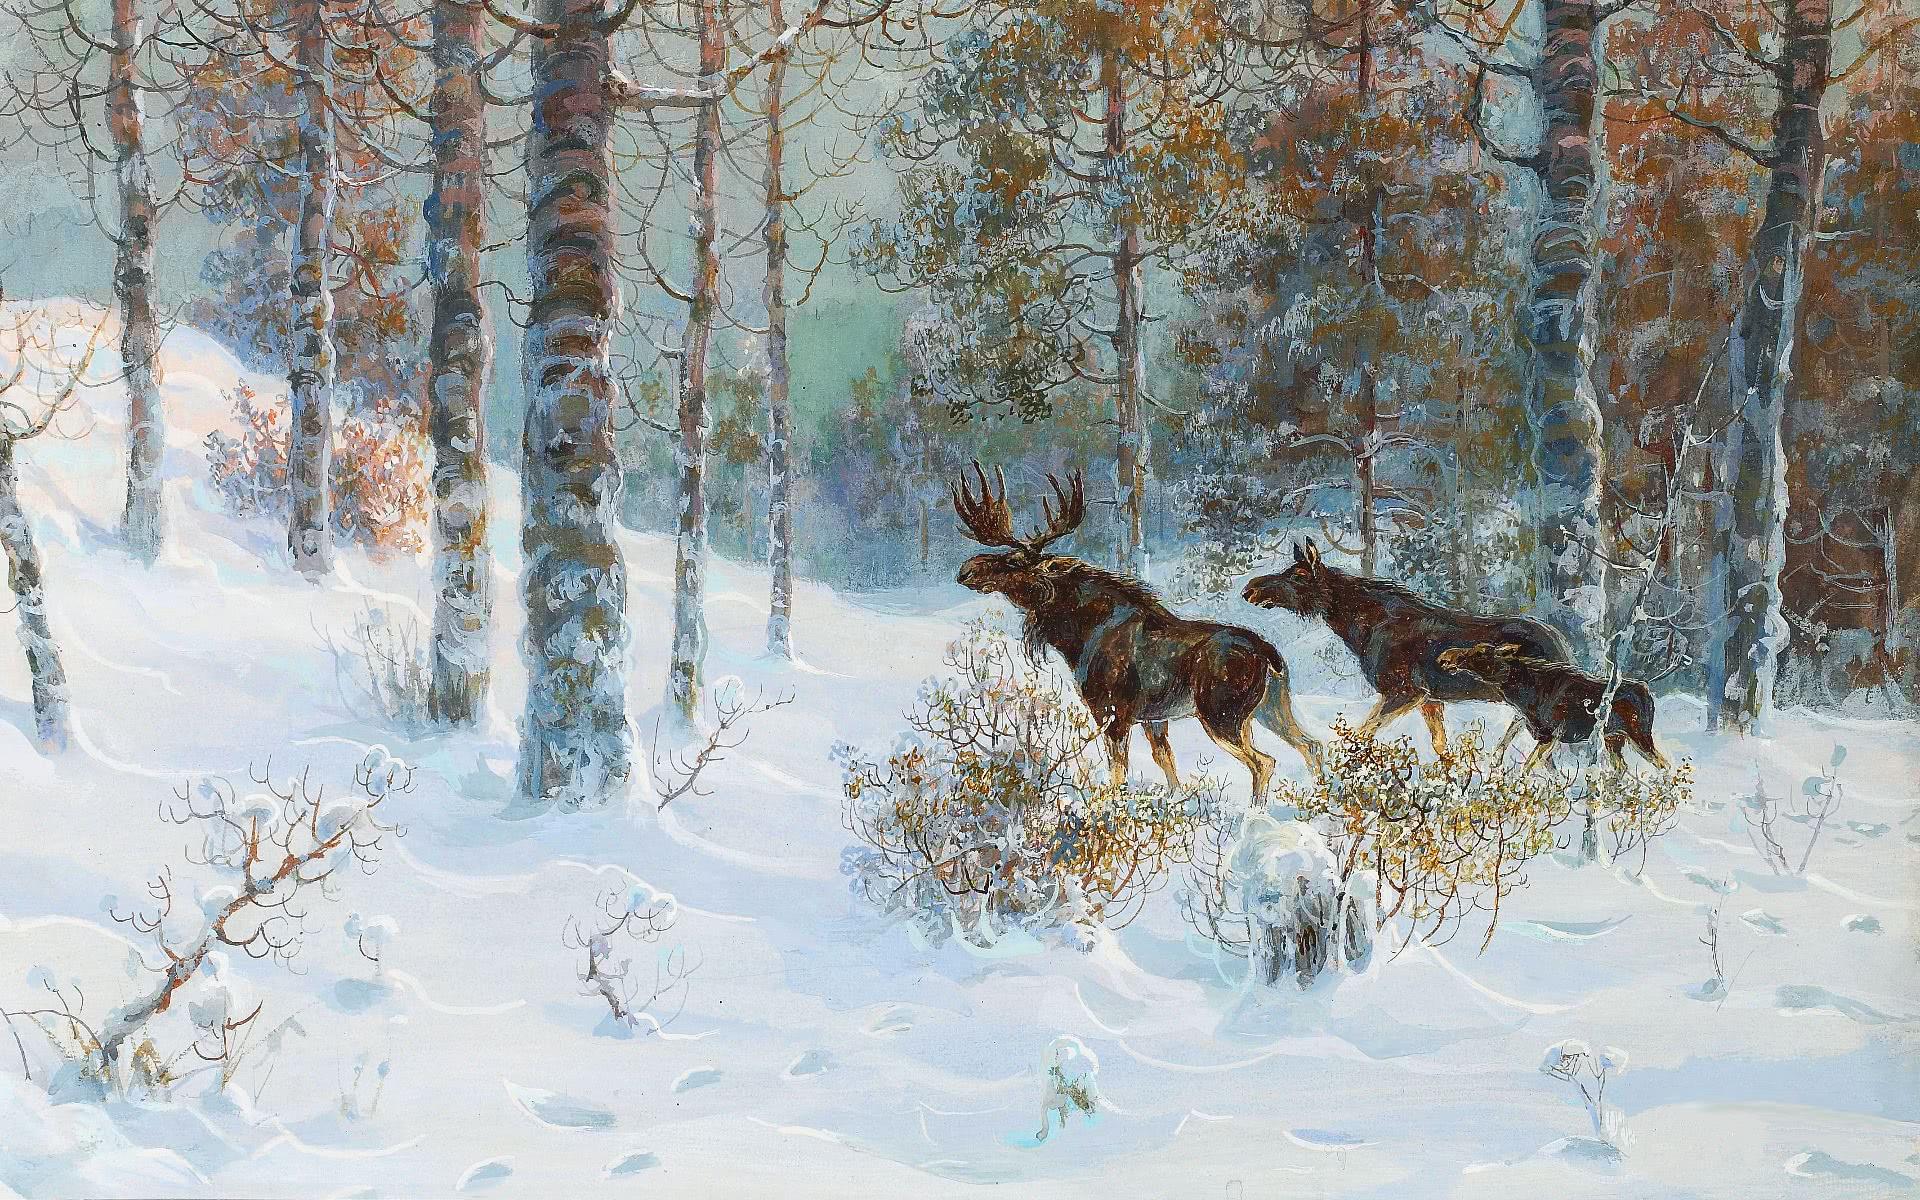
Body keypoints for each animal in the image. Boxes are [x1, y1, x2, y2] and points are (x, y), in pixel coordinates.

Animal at [952, 464, 1322, 804]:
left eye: (1013, 561)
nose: (965, 570)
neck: (1077, 638)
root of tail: (1270, 656)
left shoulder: (1111, 711)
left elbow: (1118, 774)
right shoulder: (1152, 718)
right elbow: (1166, 763)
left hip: (1221, 713)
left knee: (1264, 762)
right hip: (1270, 708)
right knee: (1311, 744)